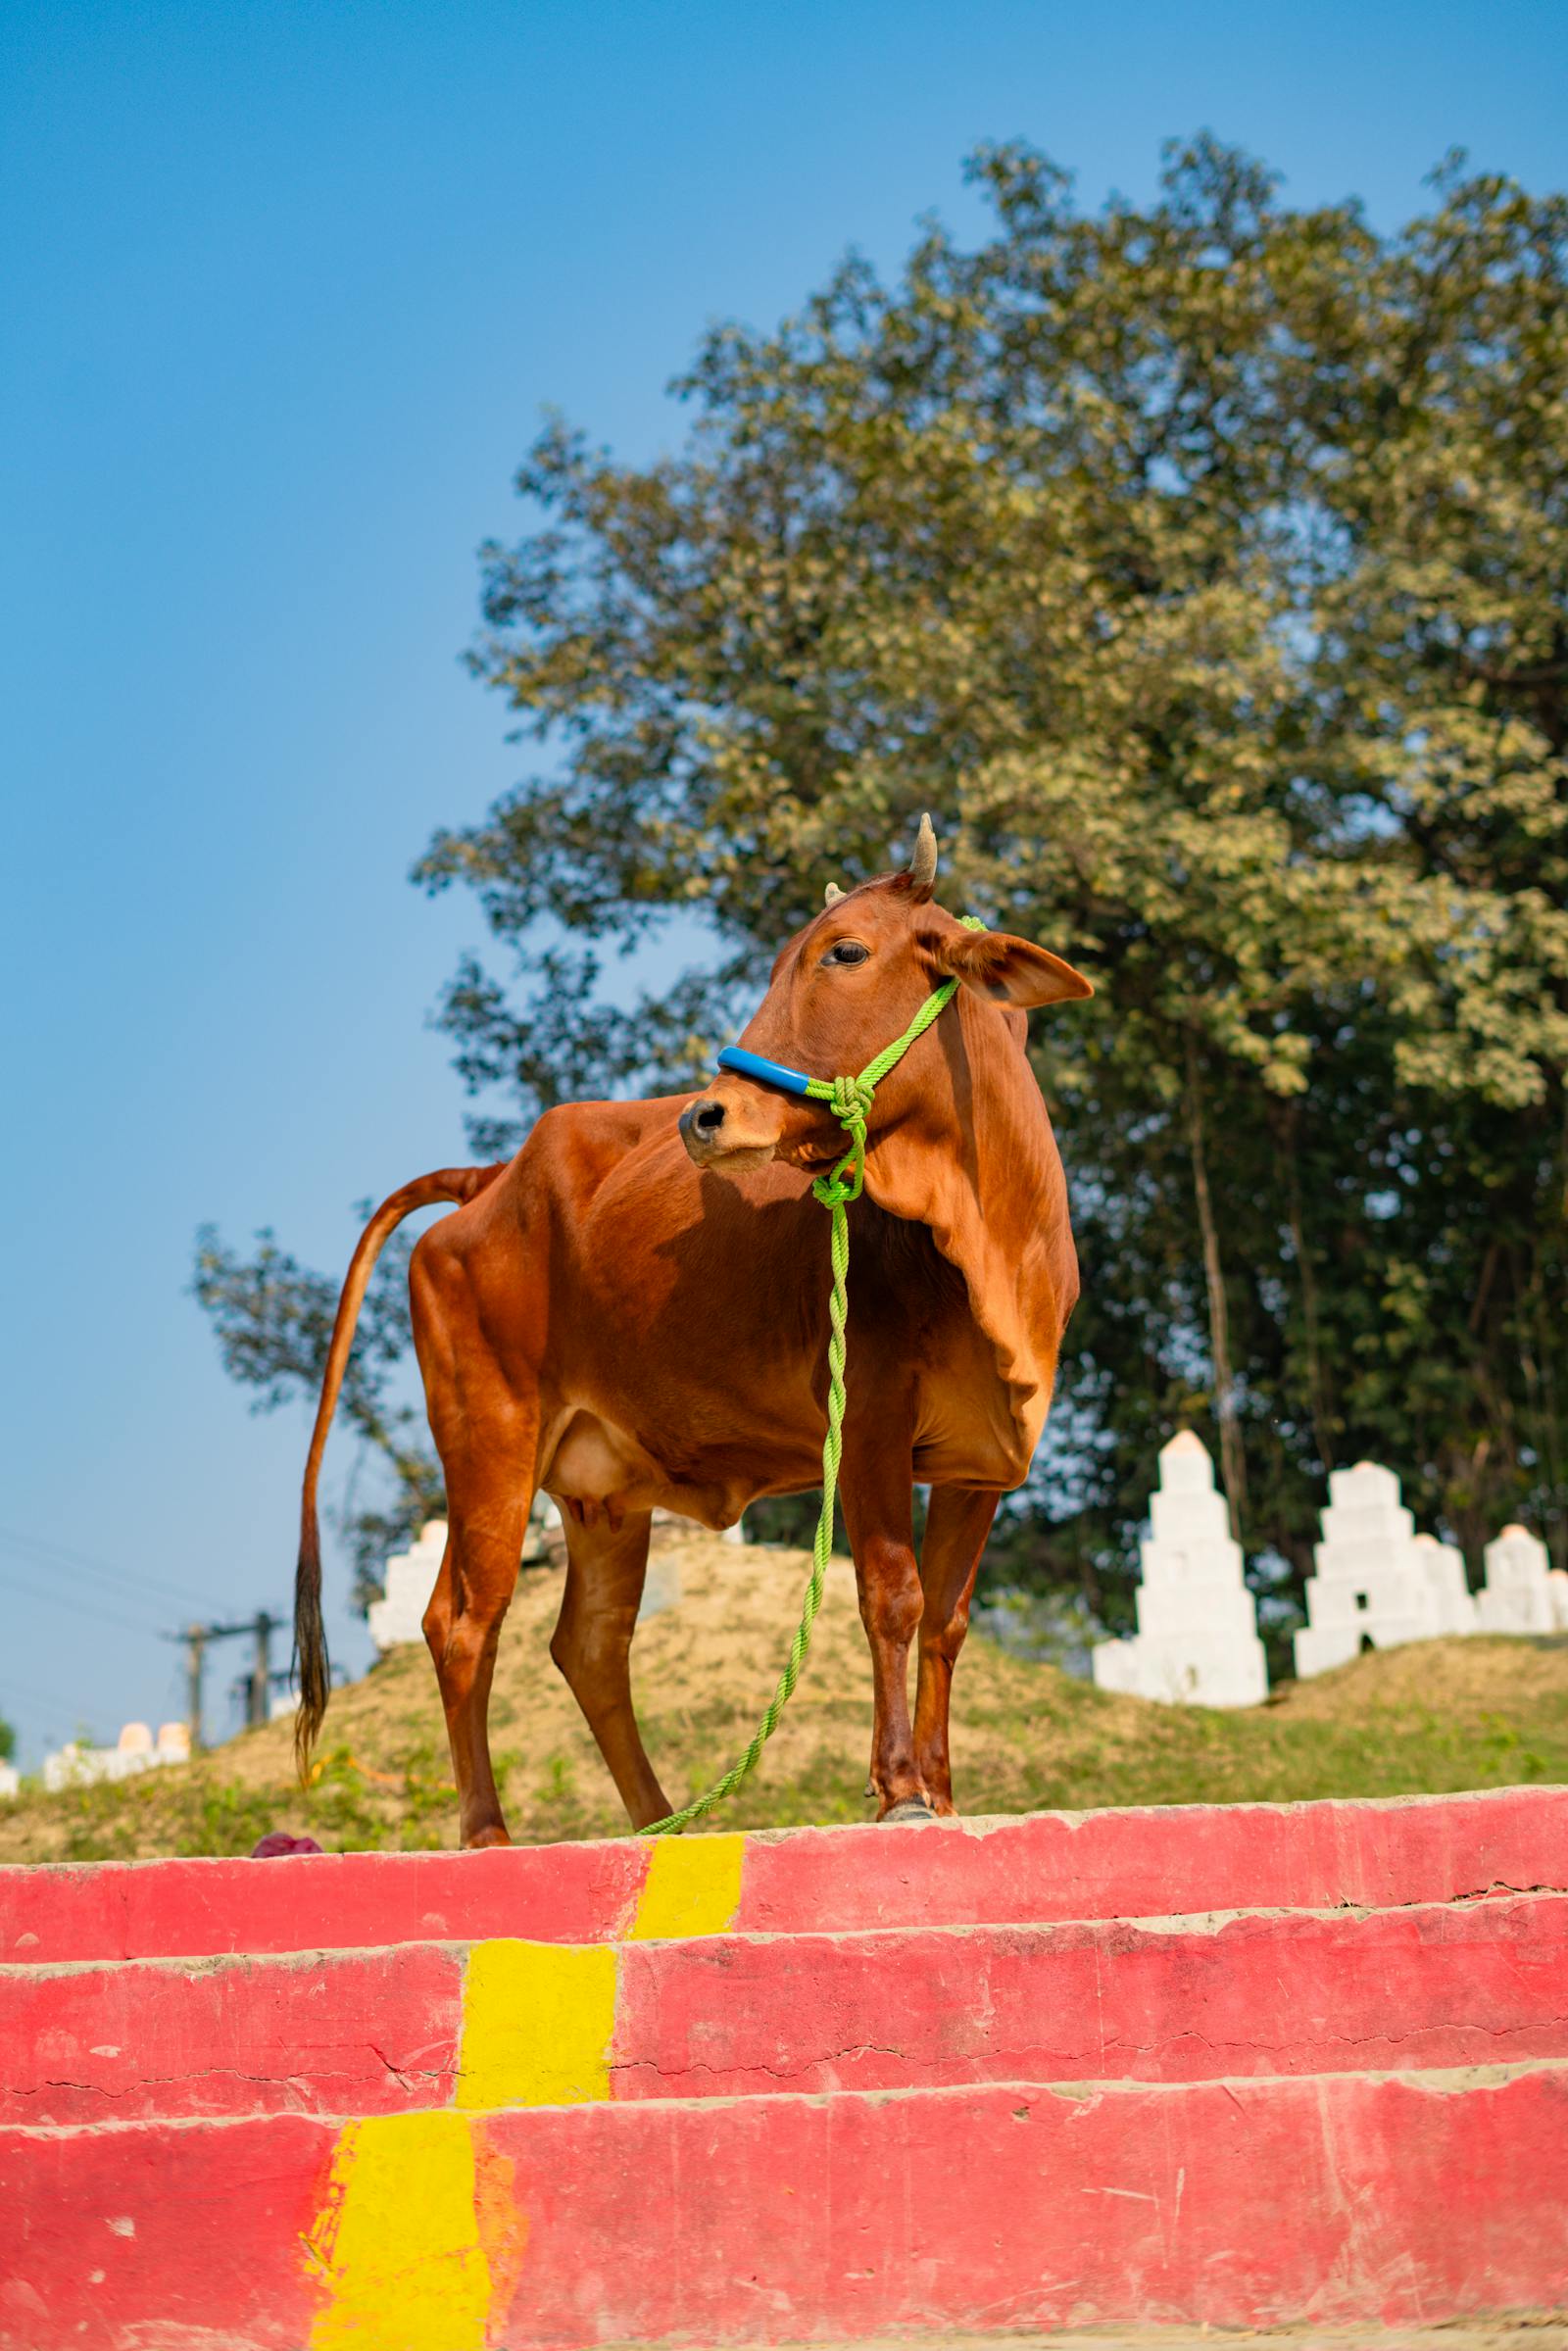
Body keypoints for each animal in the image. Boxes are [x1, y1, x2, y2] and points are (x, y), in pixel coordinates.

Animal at [293, 820, 1092, 1847]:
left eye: (845, 951)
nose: (706, 1114)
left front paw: (946, 1794)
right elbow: (894, 1596)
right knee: (464, 1619)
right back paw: (488, 1831)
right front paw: (901, 1789)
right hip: (488, 1439)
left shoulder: (982, 1455)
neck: (984, 1236)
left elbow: (948, 1622)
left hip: (597, 1489)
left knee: (590, 1643)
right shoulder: (868, 1420)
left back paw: (662, 1822)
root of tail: (496, 1178)